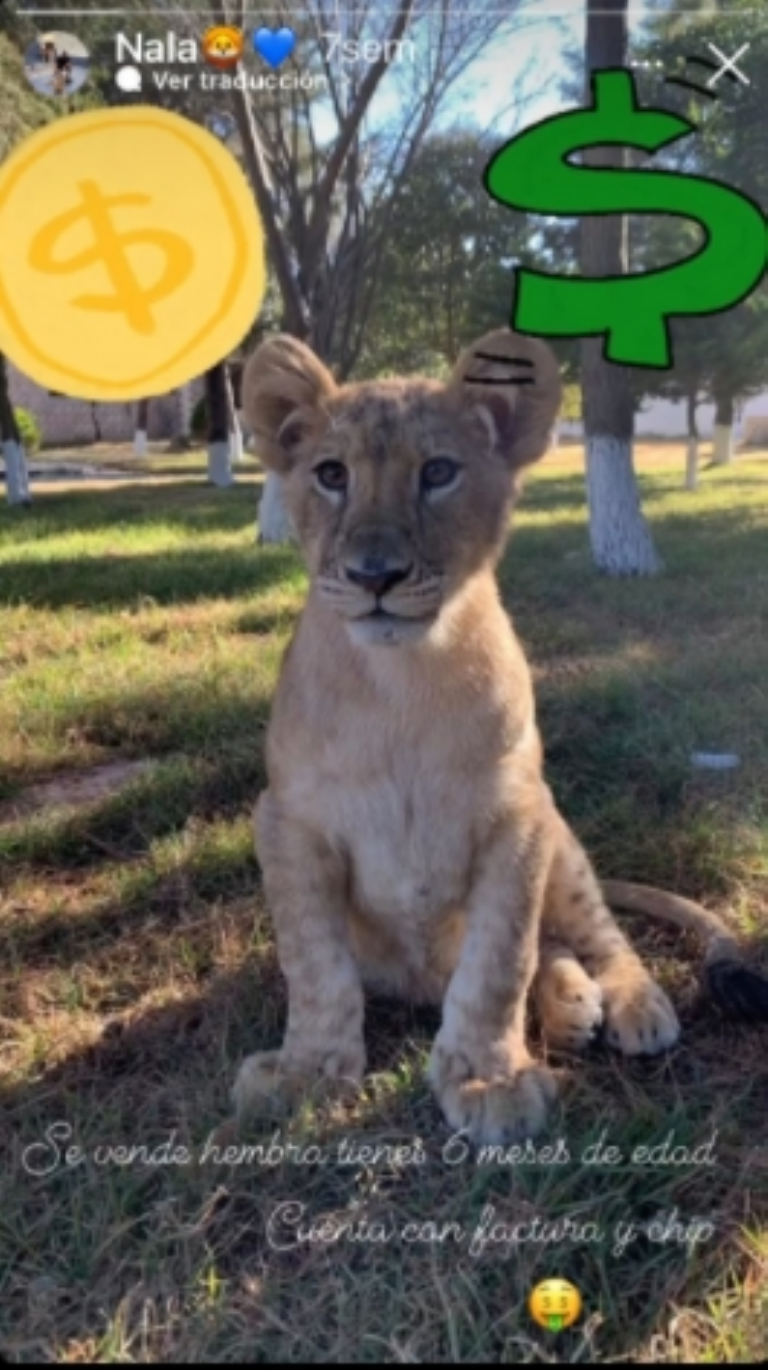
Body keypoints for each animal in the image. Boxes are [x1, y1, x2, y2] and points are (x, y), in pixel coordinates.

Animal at [235, 327, 768, 1146]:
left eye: (438, 472)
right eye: (331, 474)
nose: (375, 575)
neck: (401, 683)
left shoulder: (516, 817)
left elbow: (498, 964)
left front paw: (488, 1078)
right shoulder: (290, 821)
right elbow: (315, 967)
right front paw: (306, 1075)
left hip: (563, 843)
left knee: (594, 936)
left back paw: (629, 1006)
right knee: (554, 949)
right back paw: (573, 1007)